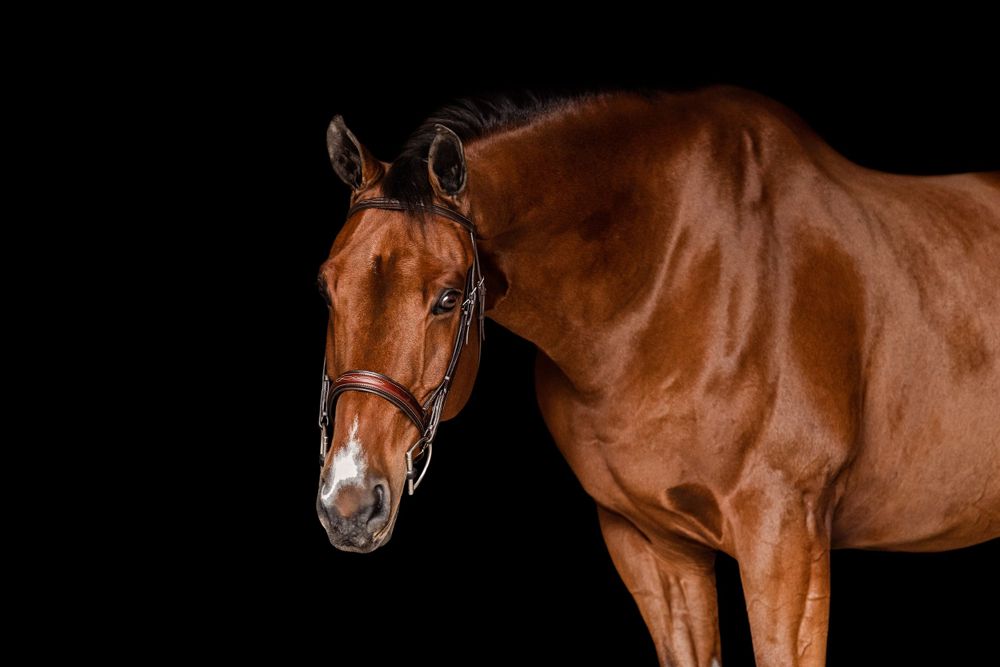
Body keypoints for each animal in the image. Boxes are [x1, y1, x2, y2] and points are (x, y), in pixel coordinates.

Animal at [314, 87, 1000, 666]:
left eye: (449, 298)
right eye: (326, 287)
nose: (349, 503)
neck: (664, 282)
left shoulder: (788, 540)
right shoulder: (657, 546)